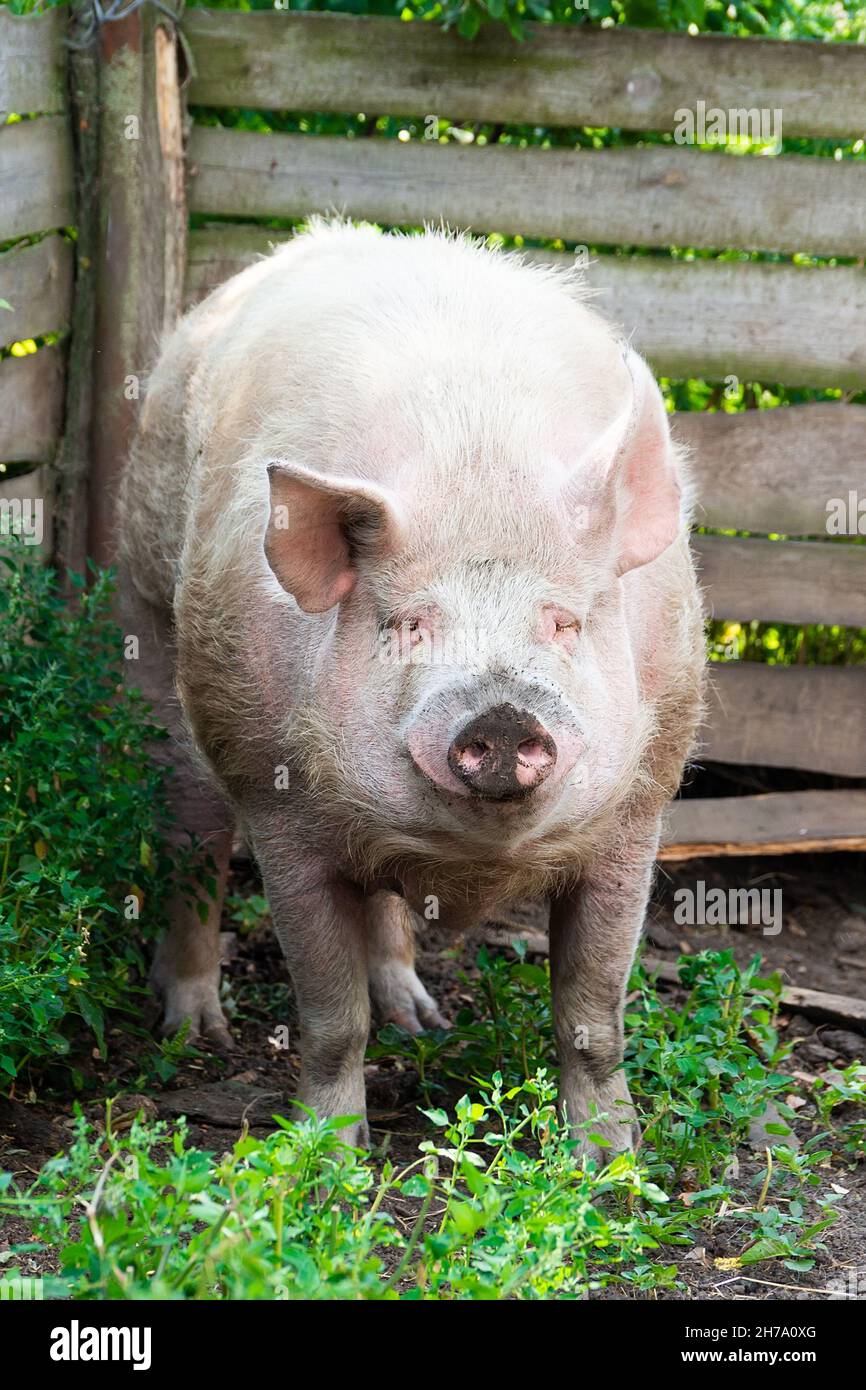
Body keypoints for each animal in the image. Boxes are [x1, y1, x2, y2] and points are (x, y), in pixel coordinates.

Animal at [118, 220, 705, 1159]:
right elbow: (330, 1019)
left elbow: (592, 1017)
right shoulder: (283, 816)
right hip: (149, 615)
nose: (501, 712)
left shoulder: (637, 813)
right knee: (195, 838)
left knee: (385, 915)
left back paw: (420, 1020)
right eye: (408, 624)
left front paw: (614, 1165)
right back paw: (194, 1029)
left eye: (565, 623)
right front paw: (331, 1161)